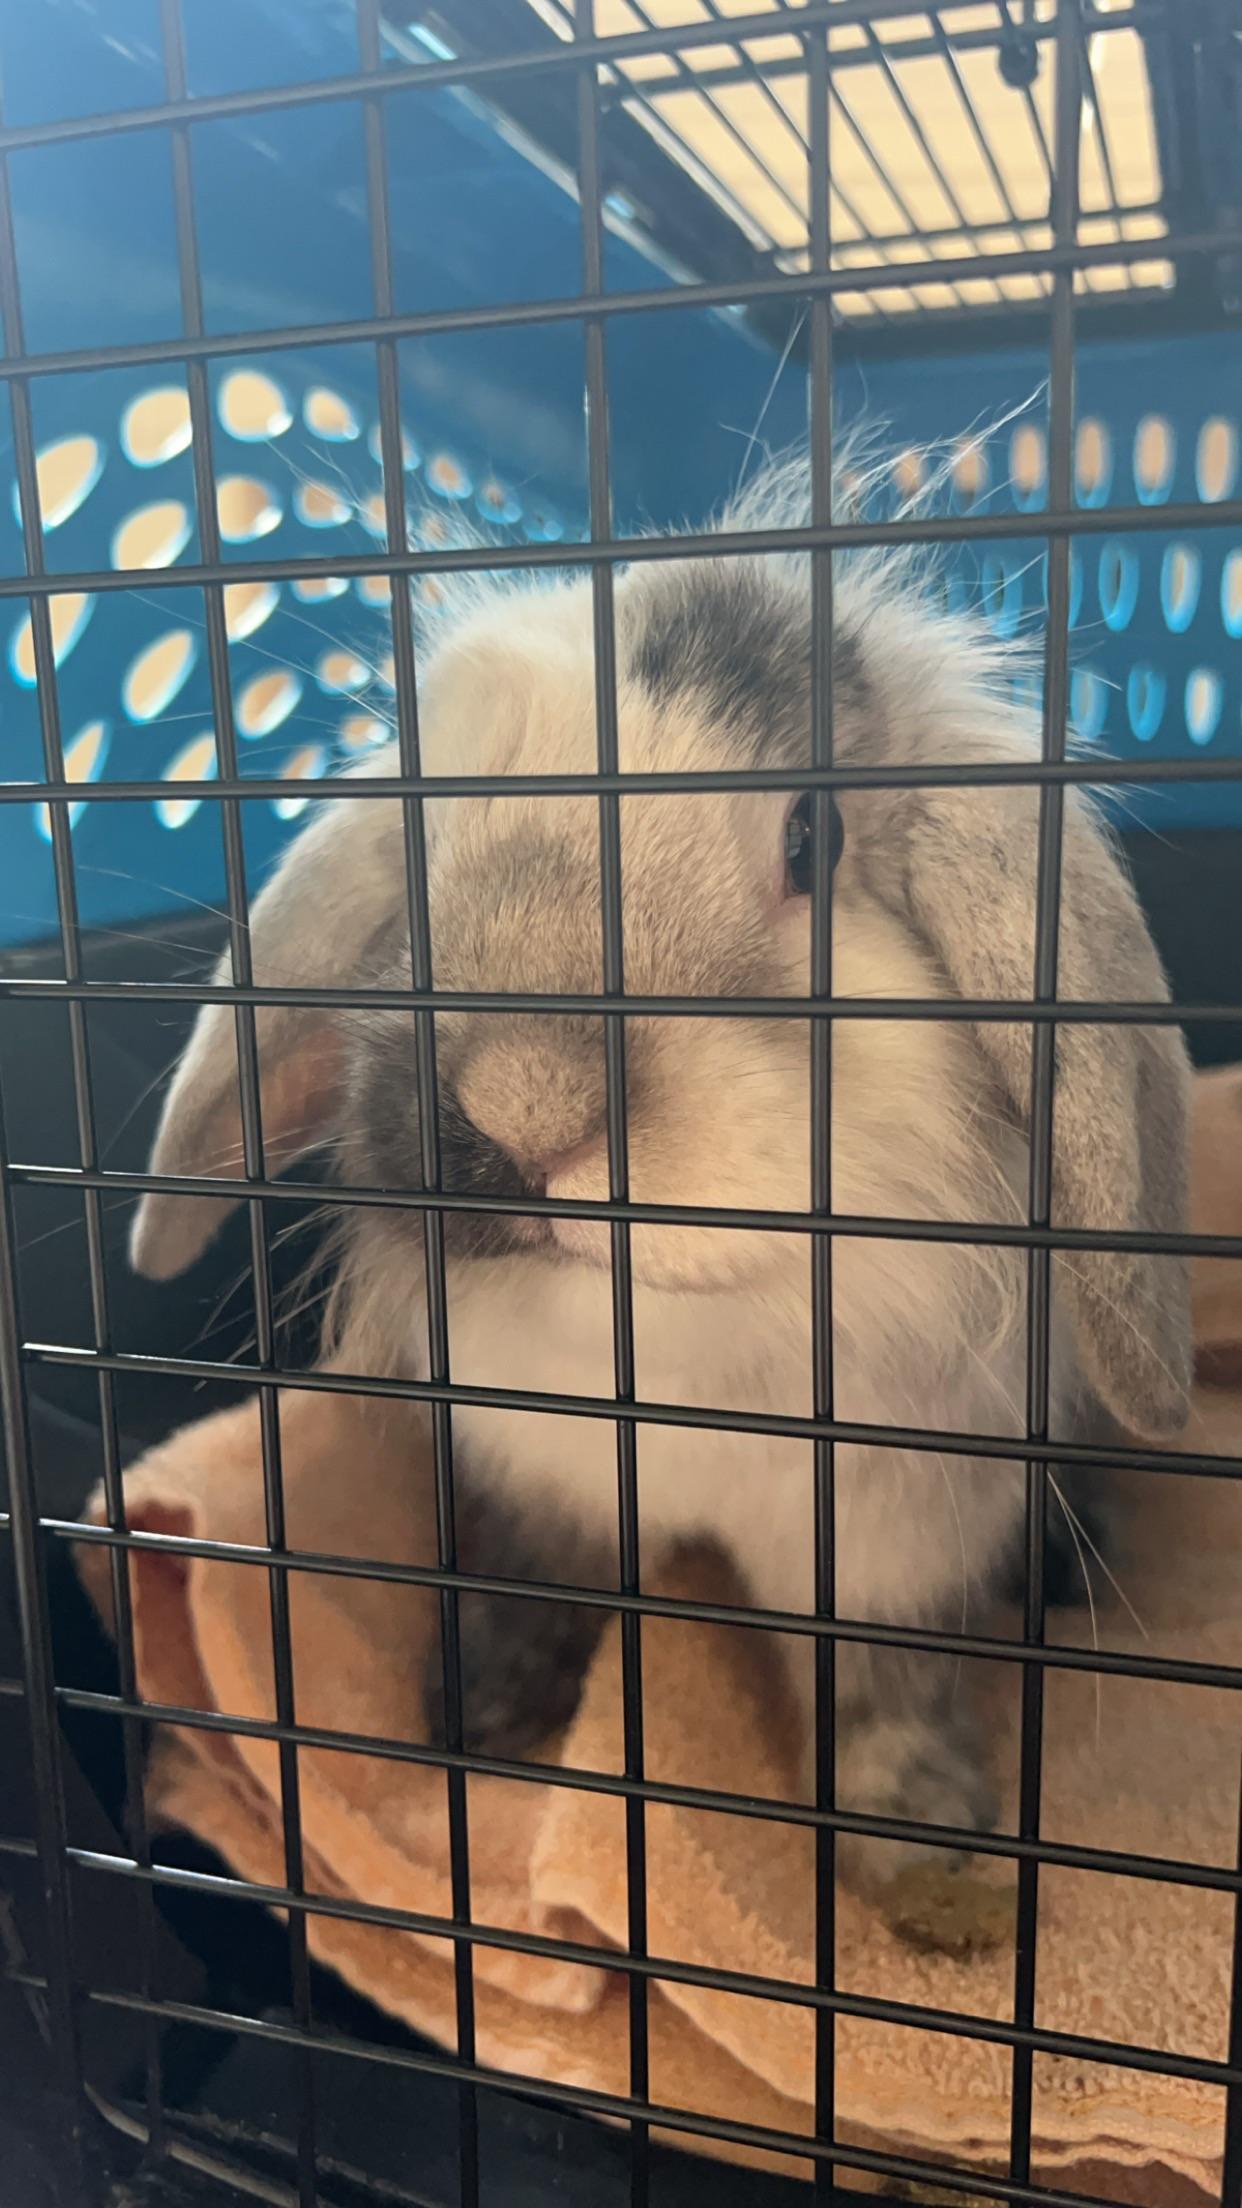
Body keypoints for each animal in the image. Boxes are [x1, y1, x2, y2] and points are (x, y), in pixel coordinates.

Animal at [129, 462, 1192, 1901]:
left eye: (813, 837)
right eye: (418, 861)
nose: (524, 1113)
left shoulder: (892, 1543)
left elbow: (888, 1687)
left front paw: (925, 1857)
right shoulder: (544, 1491)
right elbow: (538, 1596)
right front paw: (486, 1724)